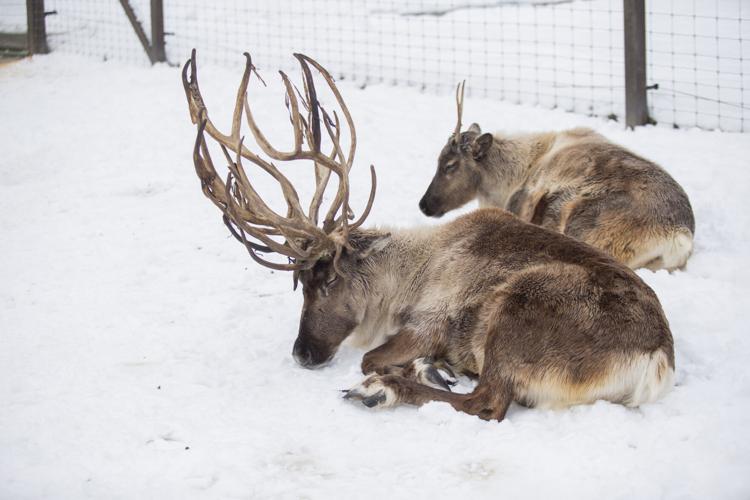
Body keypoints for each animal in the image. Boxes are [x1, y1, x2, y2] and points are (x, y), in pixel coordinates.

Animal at [419, 83, 695, 272]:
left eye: (450, 165)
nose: (424, 205)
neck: (509, 178)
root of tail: (680, 237)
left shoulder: (527, 195)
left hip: (586, 222)